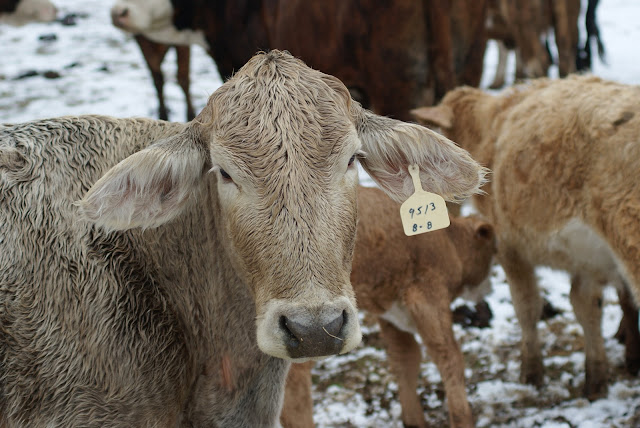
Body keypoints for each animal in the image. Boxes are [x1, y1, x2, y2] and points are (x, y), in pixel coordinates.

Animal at [280, 186, 497, 428]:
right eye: (492, 252)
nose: (489, 293)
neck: (448, 243)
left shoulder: (391, 312)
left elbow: (406, 357)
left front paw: (414, 421)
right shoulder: (427, 295)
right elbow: (449, 357)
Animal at [411, 74, 640, 400]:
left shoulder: (509, 247)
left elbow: (527, 306)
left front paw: (531, 370)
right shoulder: (586, 259)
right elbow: (586, 308)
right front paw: (596, 378)